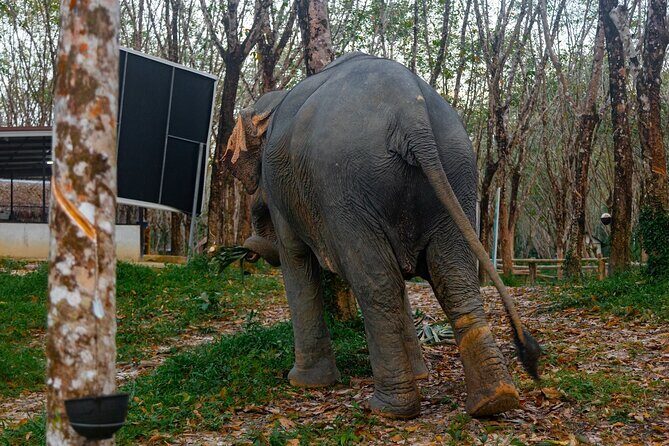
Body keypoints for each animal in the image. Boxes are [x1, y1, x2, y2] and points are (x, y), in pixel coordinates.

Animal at [223, 52, 540, 419]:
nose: (245, 250)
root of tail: (411, 112)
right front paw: (420, 373)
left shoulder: (281, 191)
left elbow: (296, 260)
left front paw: (303, 383)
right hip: (457, 170)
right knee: (453, 279)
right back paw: (494, 400)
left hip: (345, 186)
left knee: (377, 284)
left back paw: (388, 408)